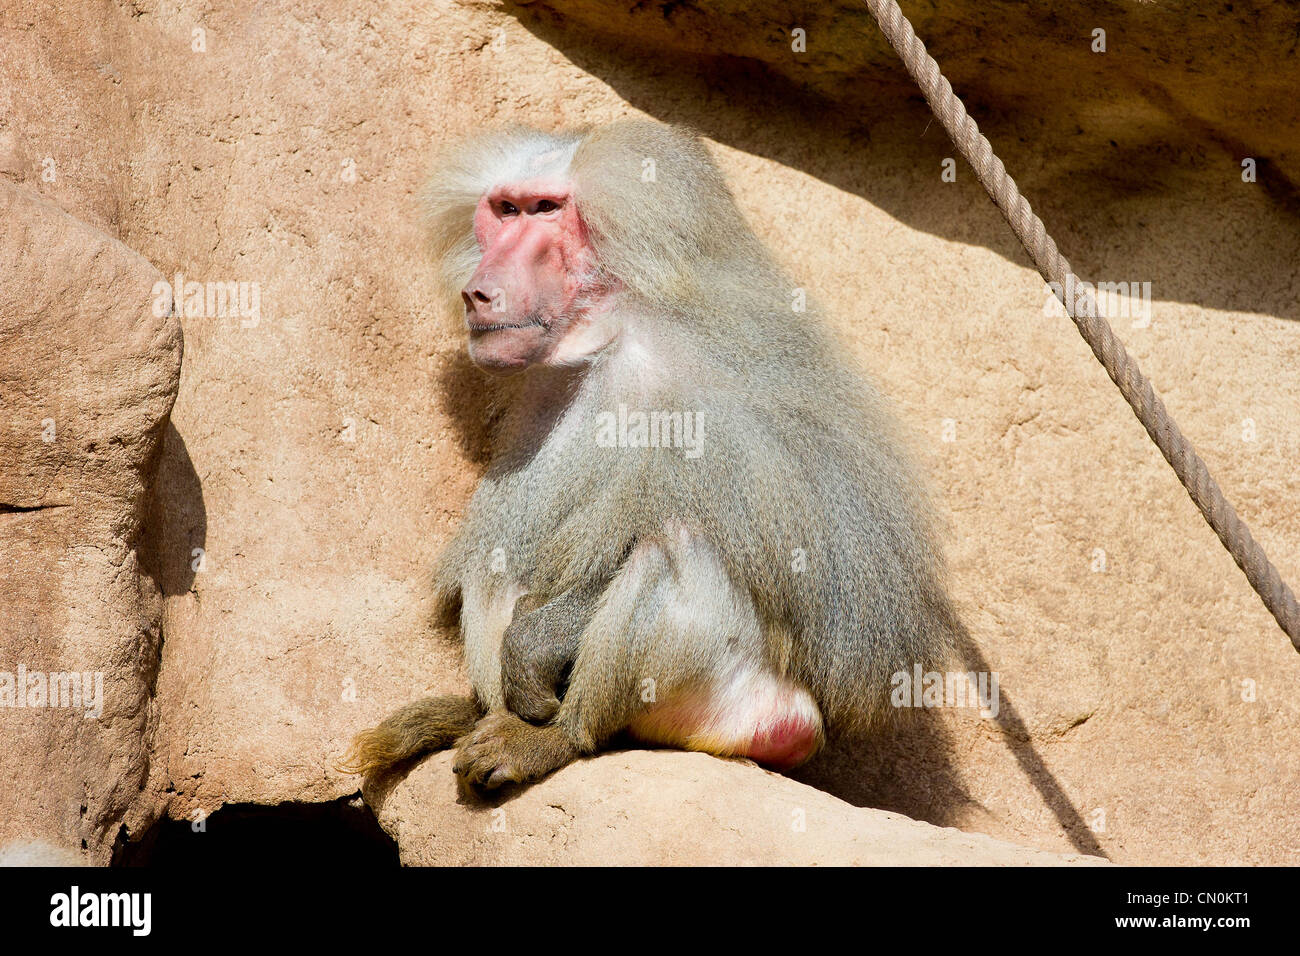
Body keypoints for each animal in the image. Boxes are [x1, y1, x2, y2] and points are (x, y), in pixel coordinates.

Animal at [338, 120, 959, 790]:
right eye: (504, 210)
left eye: (546, 209)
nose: (478, 292)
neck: (611, 325)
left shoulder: (689, 384)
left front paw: (532, 652)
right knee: (498, 551)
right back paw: (477, 717)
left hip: (742, 701)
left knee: (677, 548)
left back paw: (552, 738)